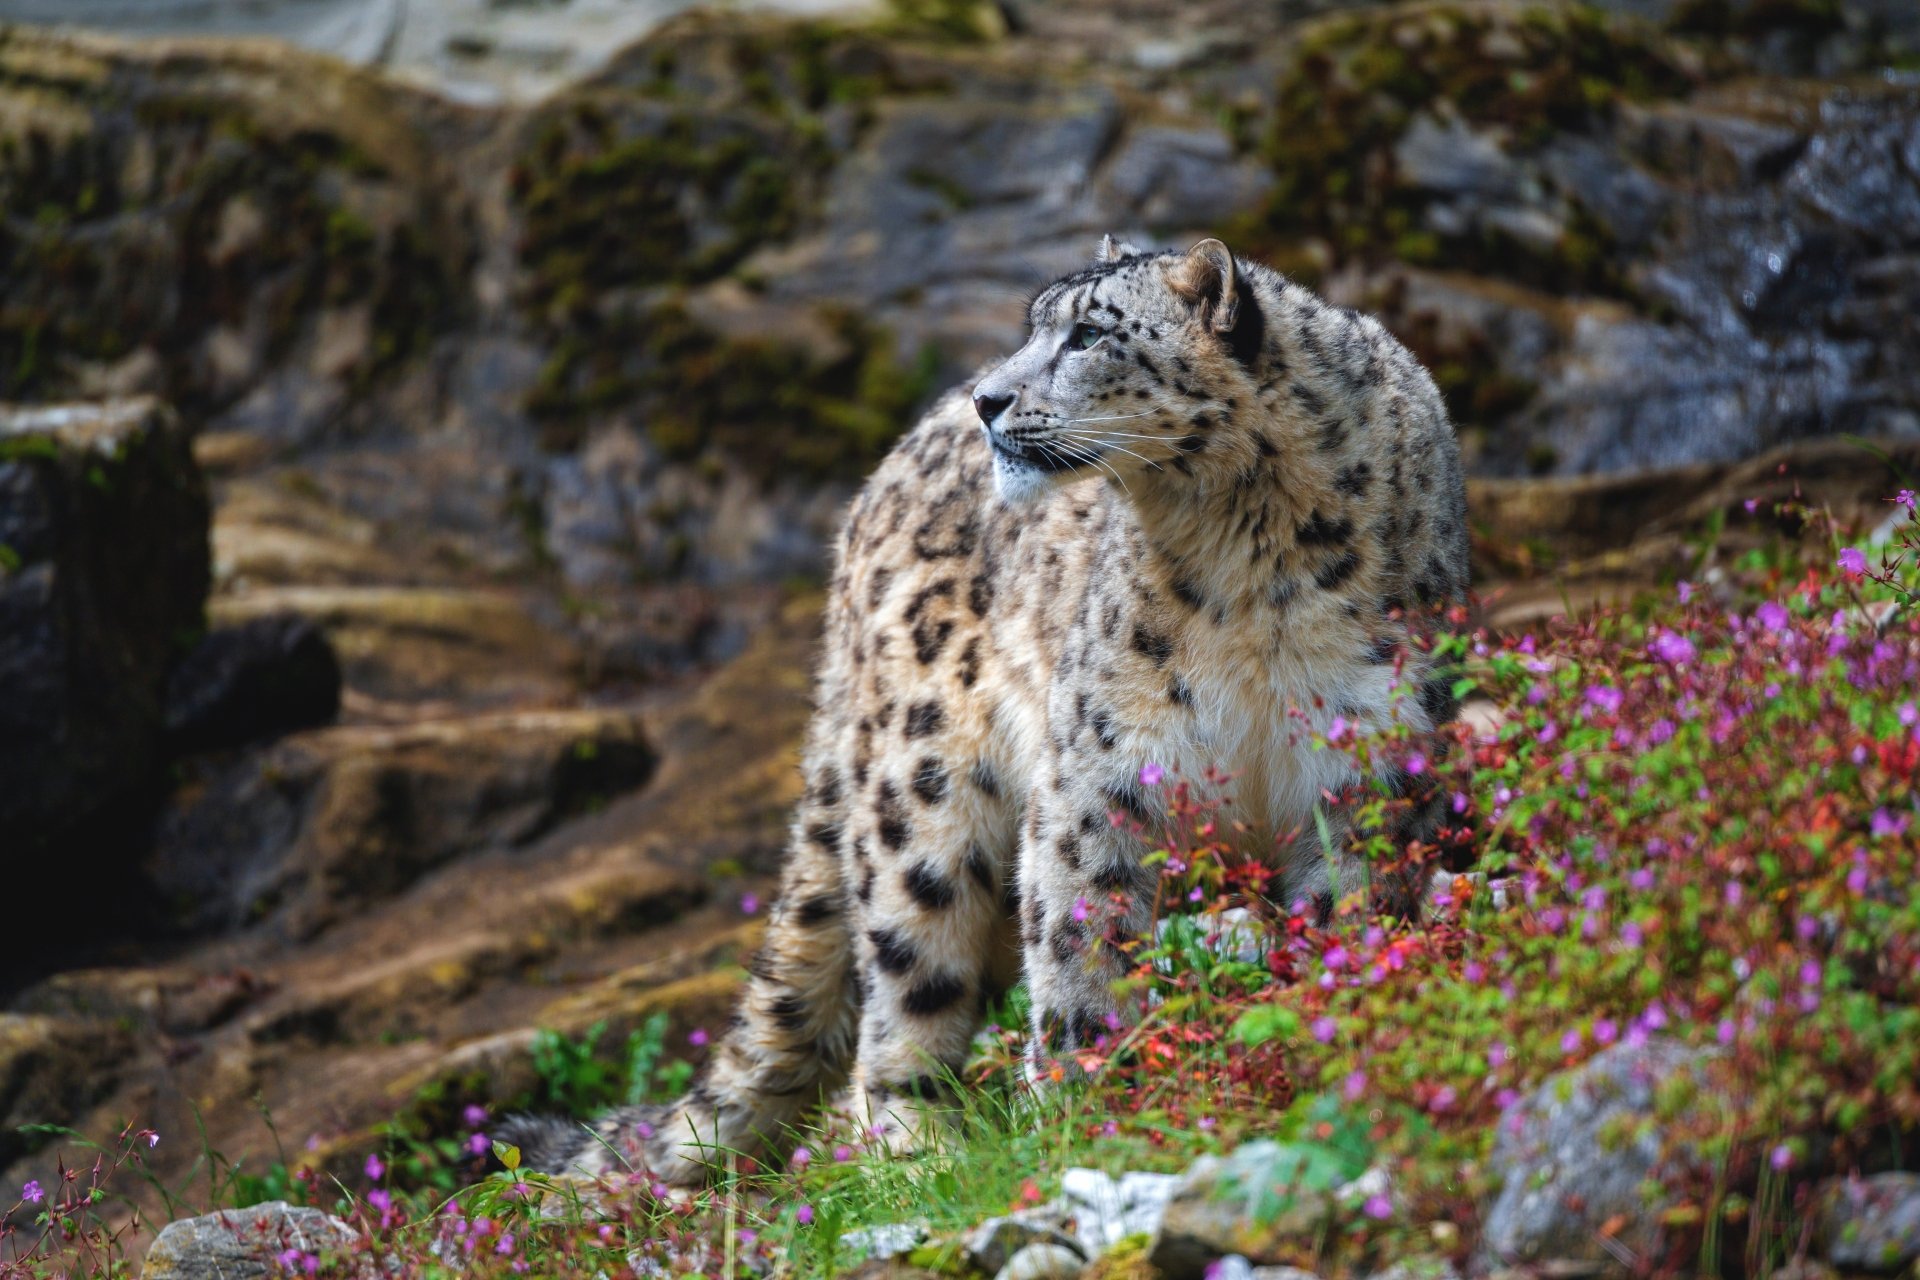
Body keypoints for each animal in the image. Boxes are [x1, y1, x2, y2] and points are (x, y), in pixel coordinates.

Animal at [498, 237, 1470, 1184]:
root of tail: (869, 498)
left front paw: (1335, 1029)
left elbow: (1351, 914)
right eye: (1036, 325)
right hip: (922, 788)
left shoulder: (1364, 764)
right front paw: (1086, 1103)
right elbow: (1081, 943)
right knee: (904, 977)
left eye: (1089, 334)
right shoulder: (1099, 771)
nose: (988, 400)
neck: (1255, 565)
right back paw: (918, 1144)